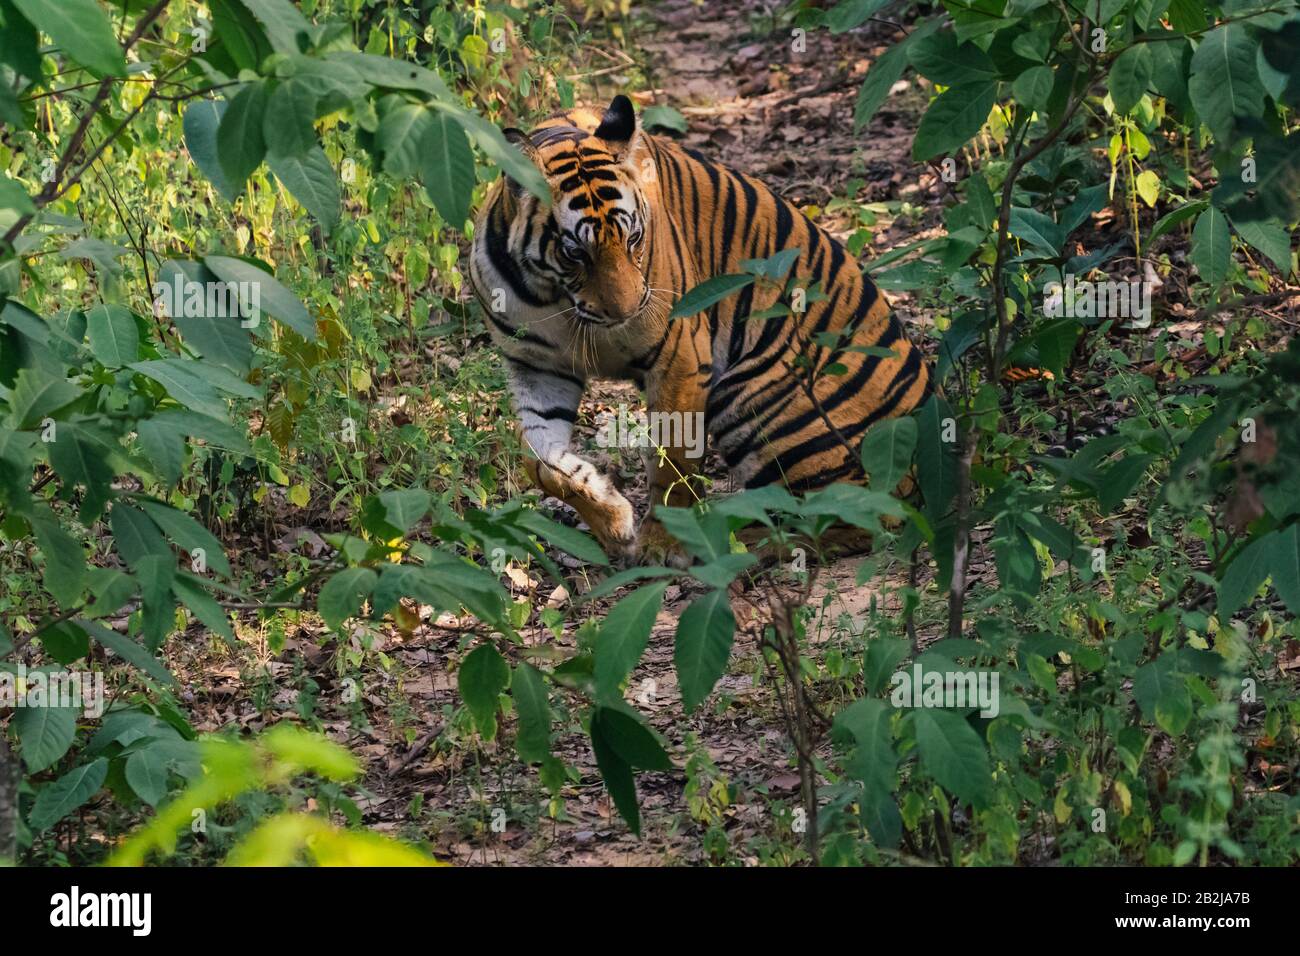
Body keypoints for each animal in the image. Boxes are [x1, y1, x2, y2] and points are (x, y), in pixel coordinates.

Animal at [469, 95, 933, 565]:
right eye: (574, 252)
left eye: (633, 238)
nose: (628, 310)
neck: (554, 298)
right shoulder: (538, 368)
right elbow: (539, 460)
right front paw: (613, 521)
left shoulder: (680, 355)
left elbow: (672, 461)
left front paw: (661, 543)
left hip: (757, 397)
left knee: (859, 520)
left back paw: (740, 540)